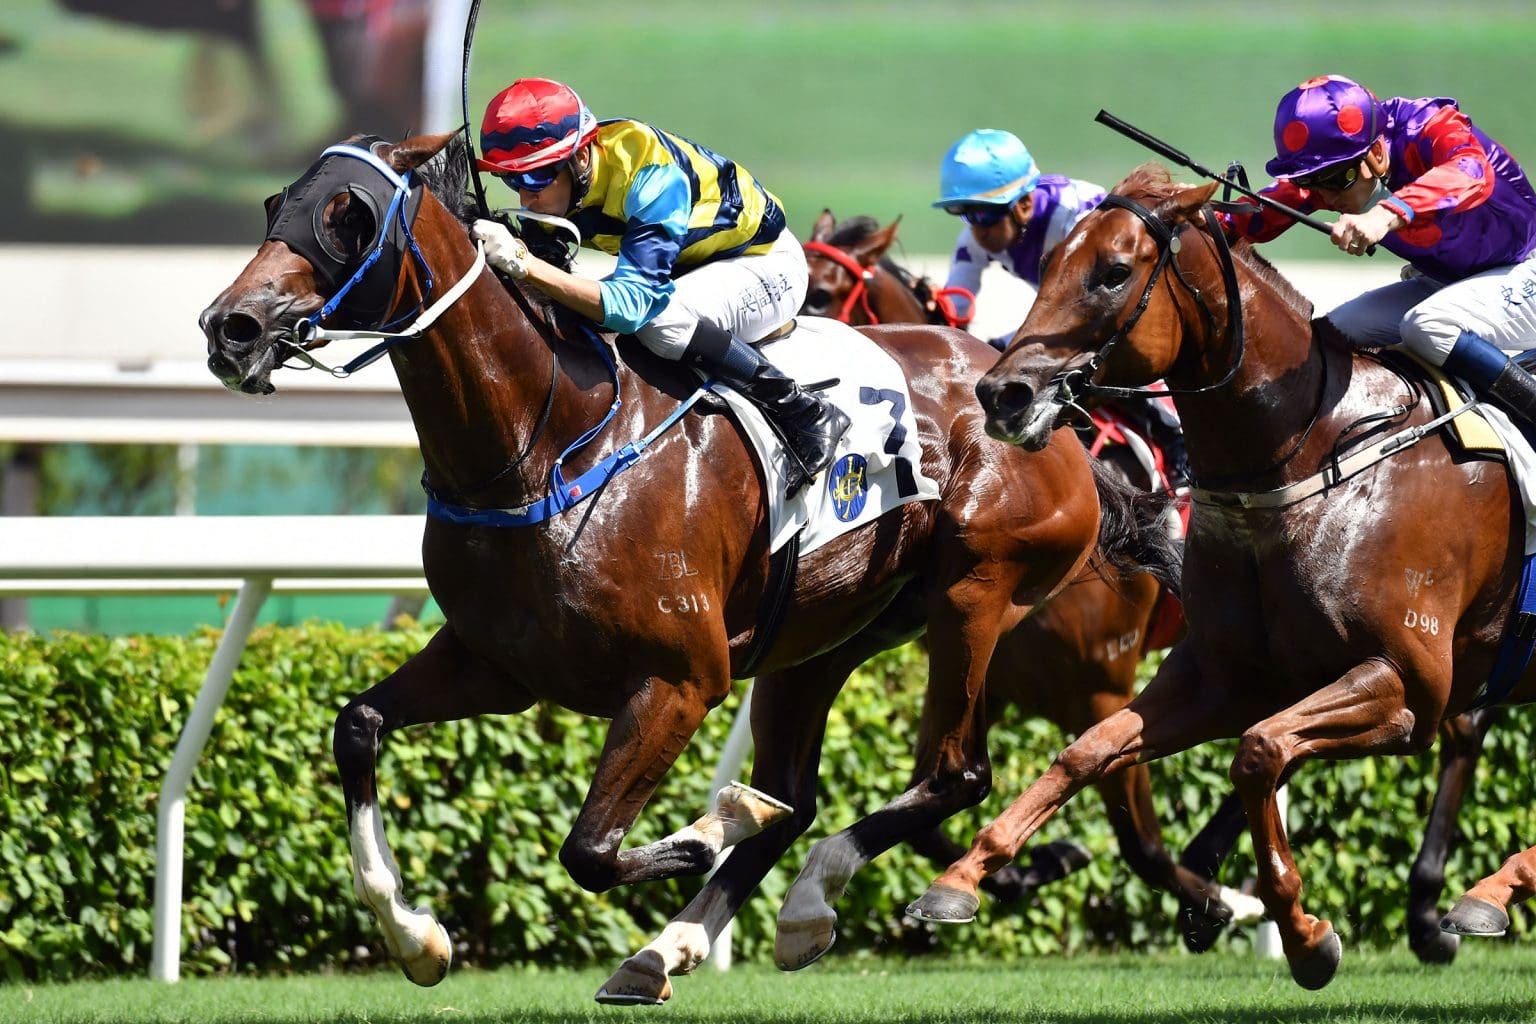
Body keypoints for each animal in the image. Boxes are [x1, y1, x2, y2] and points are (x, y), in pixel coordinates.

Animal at [198, 132, 1178, 1004]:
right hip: (824, 636)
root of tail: (1042, 408)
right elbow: (357, 727)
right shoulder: (496, 665)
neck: (542, 444)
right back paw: (672, 947)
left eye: (348, 218)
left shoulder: (680, 679)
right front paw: (414, 935)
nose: (229, 327)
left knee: (954, 773)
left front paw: (720, 818)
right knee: (804, 792)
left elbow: (590, 849)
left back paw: (809, 896)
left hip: (977, 591)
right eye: (275, 205)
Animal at [799, 210, 1258, 928]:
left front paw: (1215, 905)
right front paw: (1033, 867)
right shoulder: (983, 669)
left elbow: (1142, 845)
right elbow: (933, 802)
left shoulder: (1103, 693)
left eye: (821, 293)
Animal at [906, 163, 1536, 989]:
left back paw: (1472, 898)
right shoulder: (1217, 675)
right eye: (1048, 267)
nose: (1002, 394)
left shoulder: (1407, 681)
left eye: (1113, 273)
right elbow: (1087, 753)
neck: (1311, 456)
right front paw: (964, 878)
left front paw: (1298, 932)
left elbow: (1256, 754)